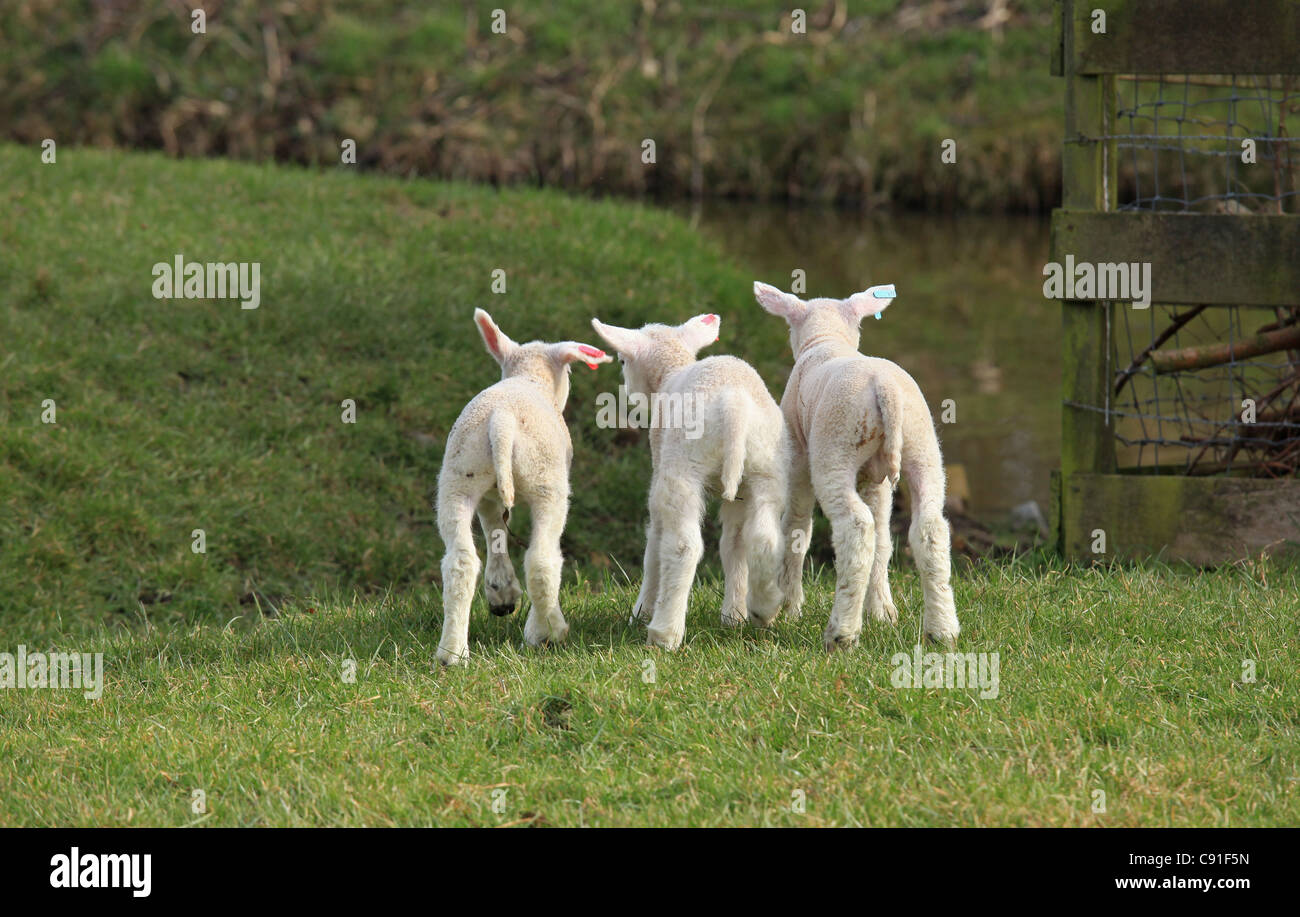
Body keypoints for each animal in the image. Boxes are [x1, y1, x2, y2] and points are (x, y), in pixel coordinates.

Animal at [435, 309, 612, 666]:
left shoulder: (489, 497)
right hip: (548, 484)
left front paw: (501, 593)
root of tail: (501, 421)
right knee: (541, 560)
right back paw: (548, 631)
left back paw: (452, 653)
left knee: (460, 561)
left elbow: (493, 529)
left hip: (459, 478)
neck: (529, 378)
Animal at [590, 313, 788, 651]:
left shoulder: (659, 472)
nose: (629, 391)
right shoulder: (737, 494)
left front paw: (641, 612)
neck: (672, 369)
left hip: (682, 468)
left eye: (622, 360)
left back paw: (664, 634)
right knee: (762, 537)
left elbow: (653, 548)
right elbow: (733, 544)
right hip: (765, 467)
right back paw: (763, 609)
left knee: (683, 546)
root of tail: (733, 406)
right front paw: (733, 616)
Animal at [752, 282, 961, 651]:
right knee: (929, 529)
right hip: (923, 447)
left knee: (856, 528)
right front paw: (882, 612)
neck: (827, 339)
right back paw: (942, 630)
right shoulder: (876, 481)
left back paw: (842, 633)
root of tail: (884, 388)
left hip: (835, 451)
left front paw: (789, 607)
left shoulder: (799, 458)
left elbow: (796, 529)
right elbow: (883, 541)